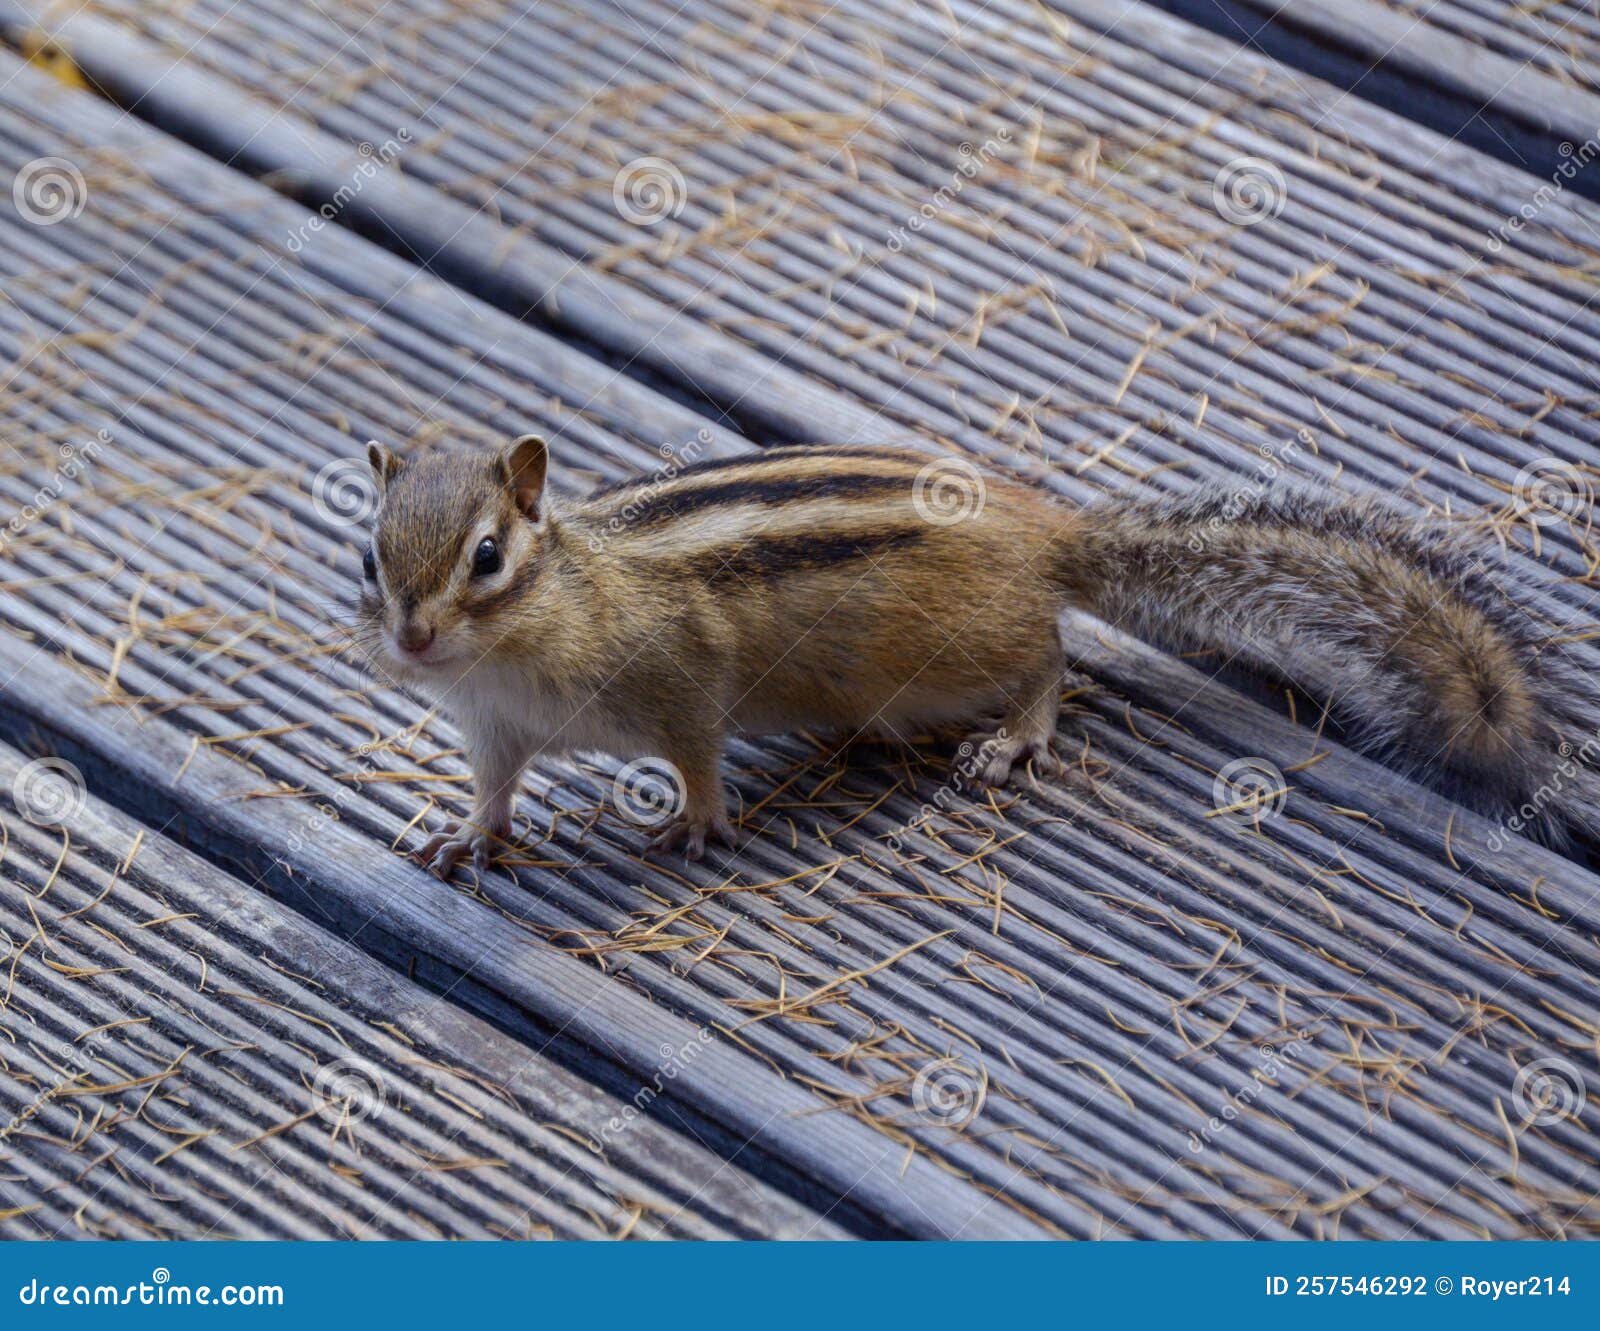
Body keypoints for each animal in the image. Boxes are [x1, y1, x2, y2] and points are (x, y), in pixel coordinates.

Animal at [354, 436, 1598, 871]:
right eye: (372, 553)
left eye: (486, 556)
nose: (411, 638)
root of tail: (1049, 534)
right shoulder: (496, 731)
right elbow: (495, 789)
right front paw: (465, 832)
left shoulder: (680, 670)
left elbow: (699, 748)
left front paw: (699, 820)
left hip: (941, 664)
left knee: (1053, 656)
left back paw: (1014, 736)